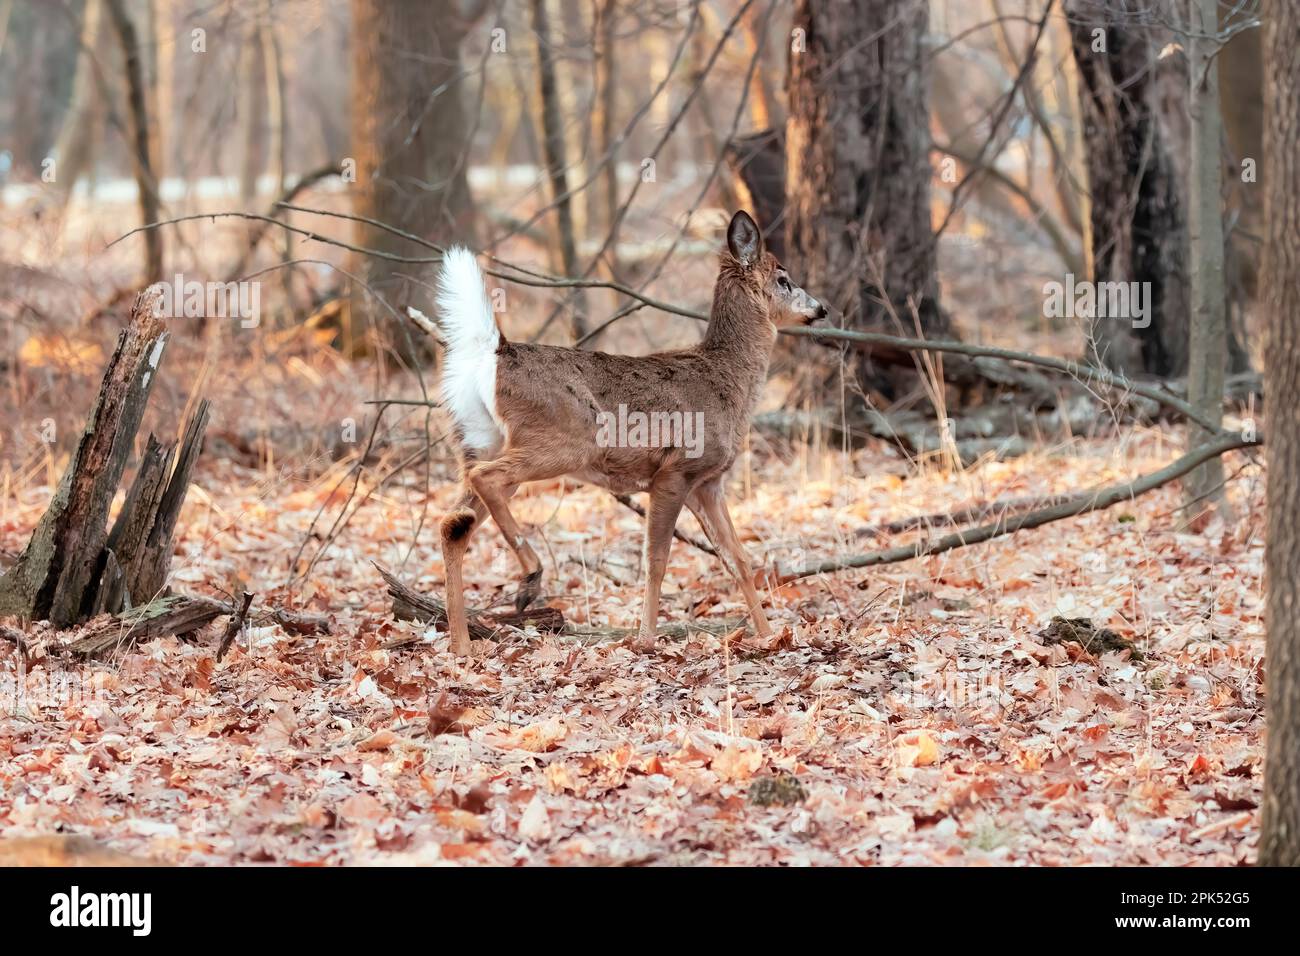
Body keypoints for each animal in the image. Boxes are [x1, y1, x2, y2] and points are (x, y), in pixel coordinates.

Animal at [423, 210, 826, 655]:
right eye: (783, 279)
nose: (821, 308)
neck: (728, 381)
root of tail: (493, 353)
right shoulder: (675, 471)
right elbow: (656, 560)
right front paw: (646, 639)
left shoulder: (708, 483)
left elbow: (737, 558)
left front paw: (769, 635)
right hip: (567, 438)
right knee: (485, 479)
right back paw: (530, 577)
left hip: (480, 438)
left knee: (453, 521)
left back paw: (462, 644)